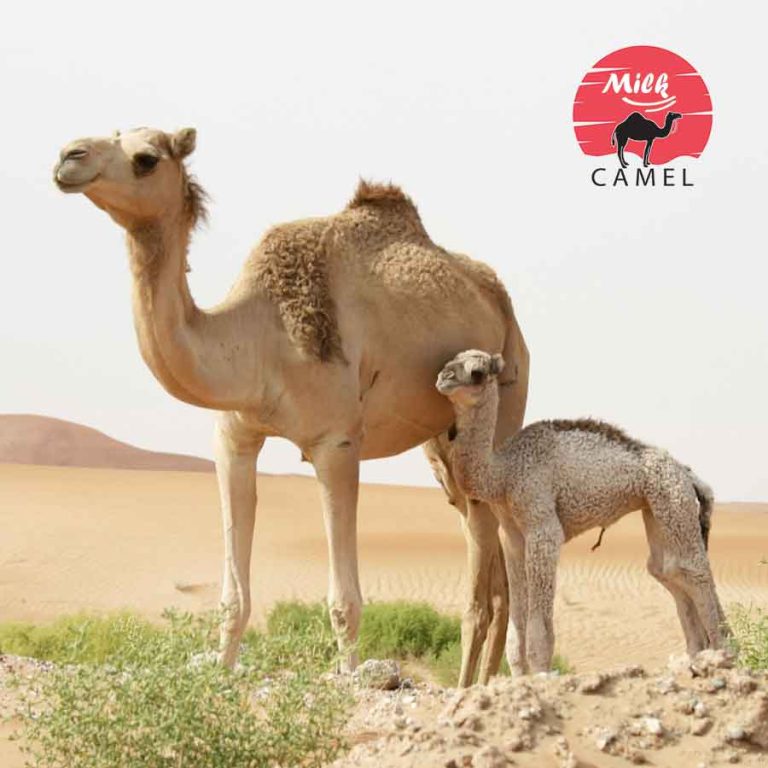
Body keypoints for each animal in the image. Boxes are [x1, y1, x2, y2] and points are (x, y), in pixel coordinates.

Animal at [52, 127, 529, 685]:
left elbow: (345, 601)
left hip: (509, 388)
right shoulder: (234, 438)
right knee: (480, 544)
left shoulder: (336, 443)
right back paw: (482, 681)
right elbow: (232, 597)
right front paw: (222, 673)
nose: (68, 157)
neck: (261, 336)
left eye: (146, 158)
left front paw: (348, 679)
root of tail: (500, 302)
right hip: (444, 447)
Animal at [436, 349, 728, 674]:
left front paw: (541, 673)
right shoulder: (513, 534)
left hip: (672, 498)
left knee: (694, 569)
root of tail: (689, 475)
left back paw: (721, 655)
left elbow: (539, 628)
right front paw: (521, 676)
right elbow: (516, 631)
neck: (503, 473)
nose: (443, 377)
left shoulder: (542, 523)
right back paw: (698, 656)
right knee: (667, 568)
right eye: (452, 360)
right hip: (657, 507)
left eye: (476, 372)